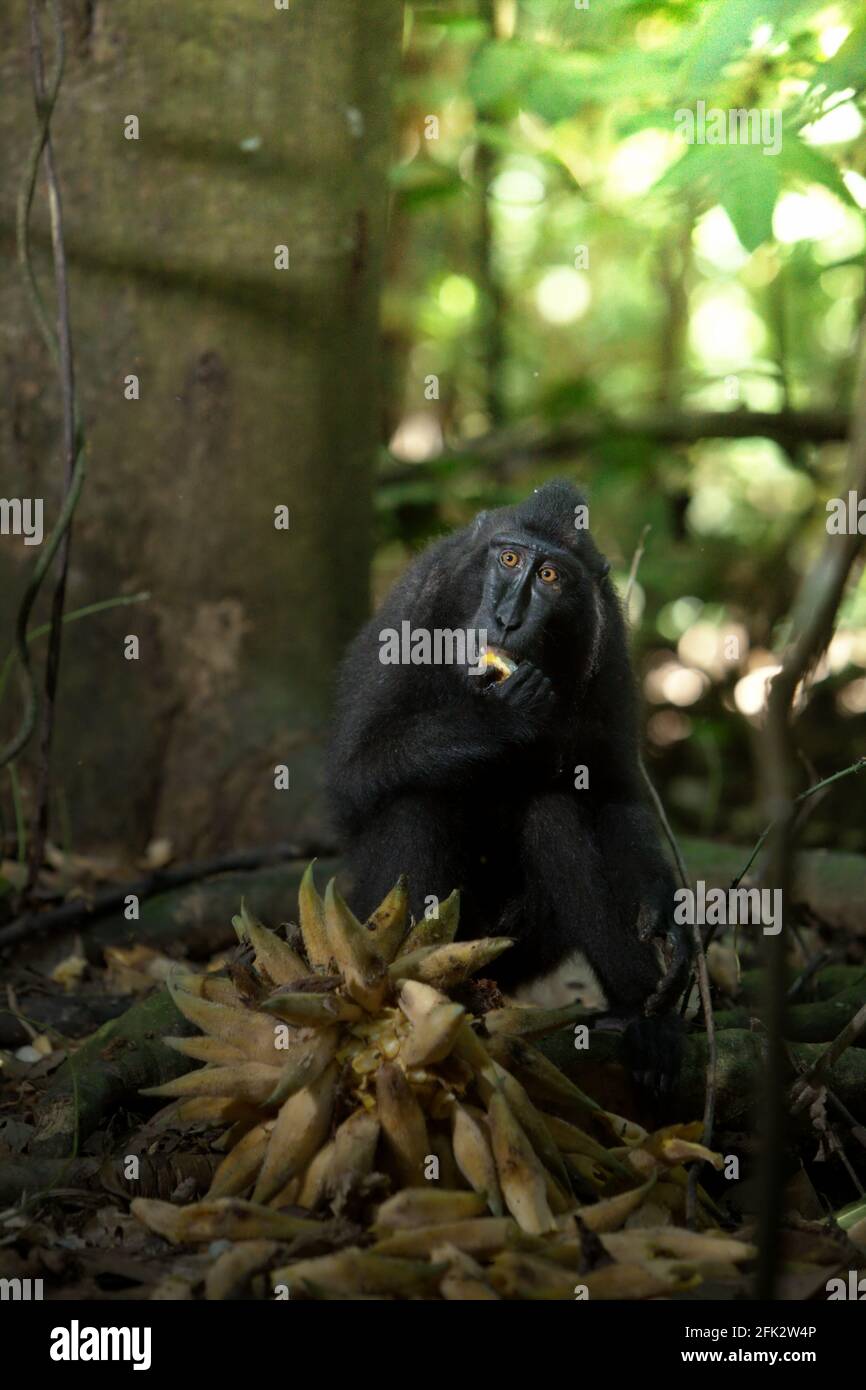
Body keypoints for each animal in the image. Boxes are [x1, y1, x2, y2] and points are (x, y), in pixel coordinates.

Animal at [326, 480, 689, 1085]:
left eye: (551, 576)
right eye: (510, 558)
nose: (506, 618)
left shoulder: (608, 636)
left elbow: (613, 794)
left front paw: (664, 916)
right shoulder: (419, 595)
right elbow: (351, 776)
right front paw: (503, 715)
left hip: (513, 949)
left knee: (553, 814)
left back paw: (643, 1019)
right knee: (416, 798)